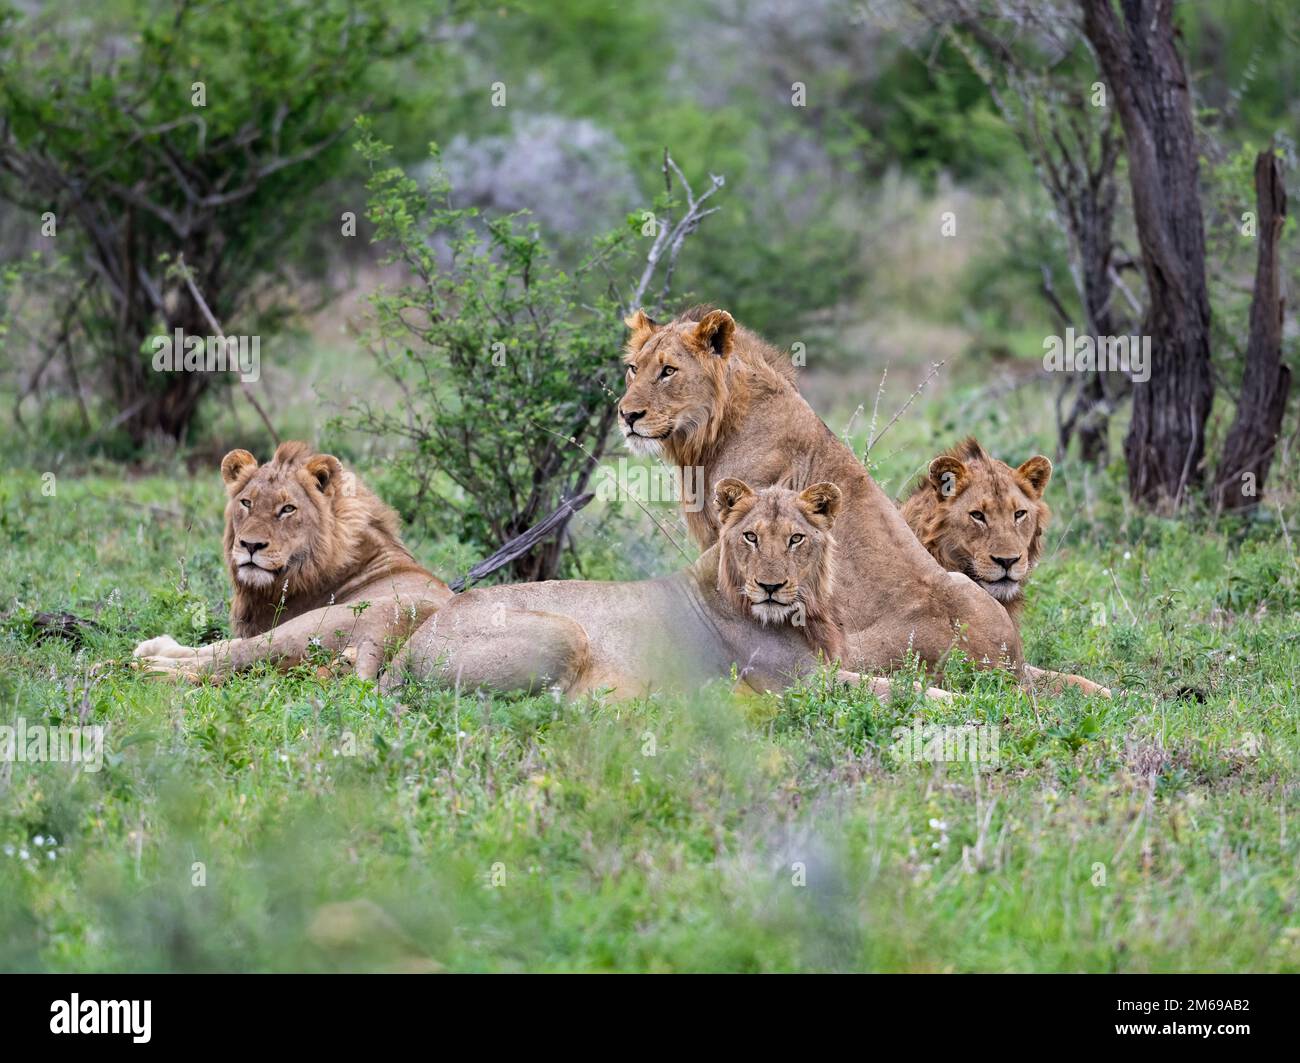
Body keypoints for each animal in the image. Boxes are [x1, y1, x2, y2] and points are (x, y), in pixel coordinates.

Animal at [134, 441, 452, 680]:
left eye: (288, 509)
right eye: (246, 502)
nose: (251, 545)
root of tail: (384, 640)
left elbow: (223, 647)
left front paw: (150, 651)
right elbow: (221, 642)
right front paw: (151, 645)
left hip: (306, 627)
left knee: (224, 662)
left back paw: (142, 667)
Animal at [382, 478, 946, 702]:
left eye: (795, 538)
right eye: (750, 536)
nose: (769, 586)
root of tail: (412, 642)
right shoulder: (798, 682)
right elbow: (902, 688)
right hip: (566, 632)